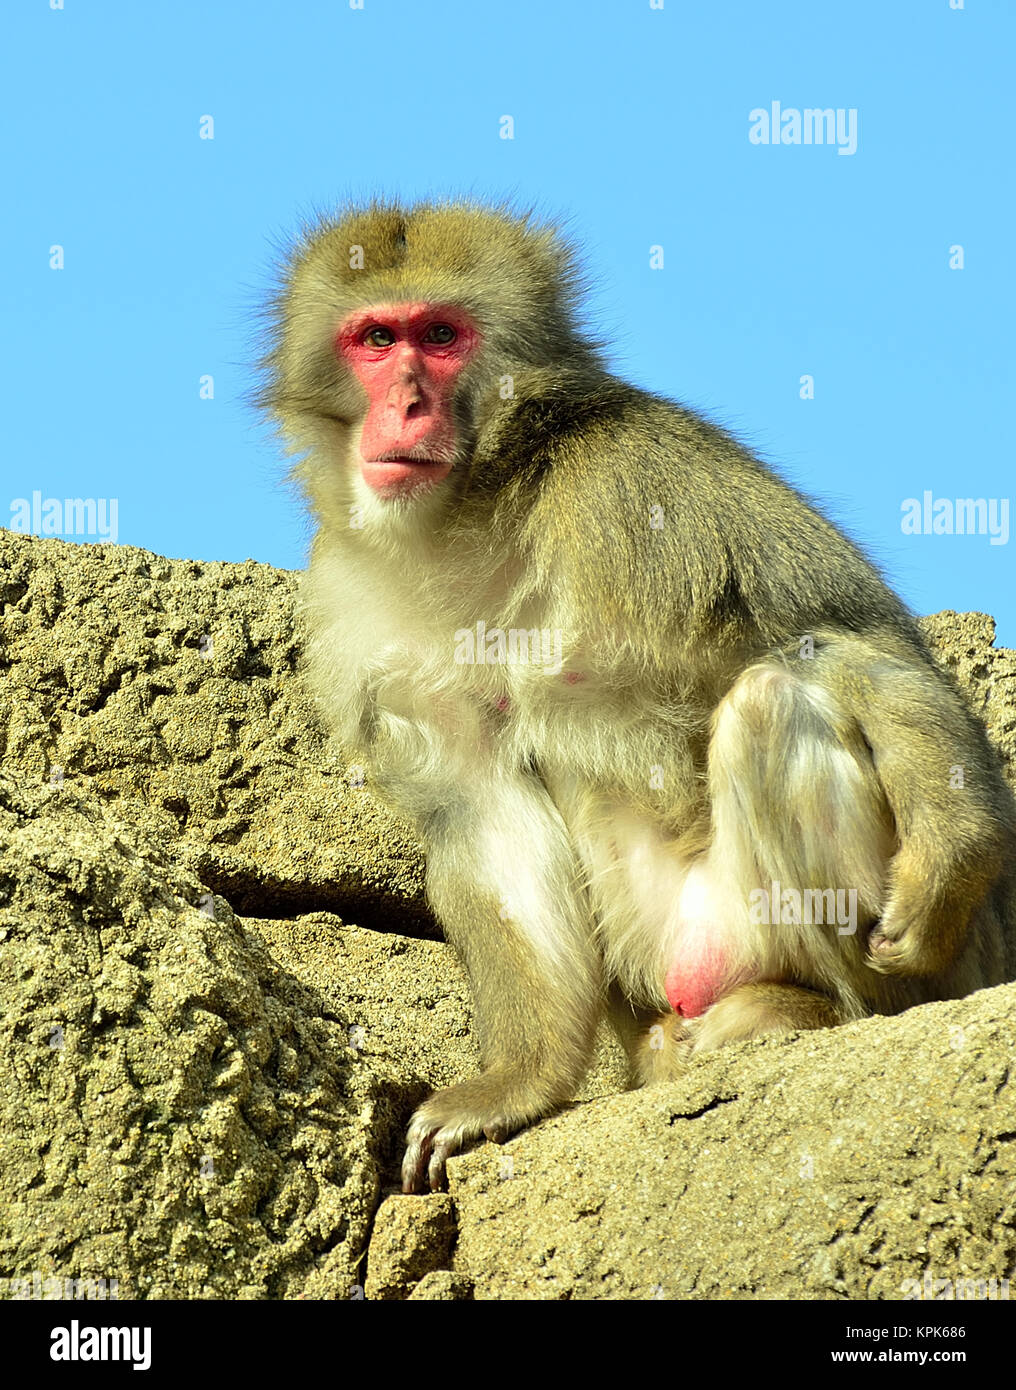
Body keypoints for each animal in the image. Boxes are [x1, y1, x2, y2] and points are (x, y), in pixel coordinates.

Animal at [263, 199, 1016, 1193]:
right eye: (377, 339)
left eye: (442, 336)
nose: (409, 402)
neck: (474, 506)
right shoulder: (356, 594)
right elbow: (478, 800)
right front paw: (519, 1082)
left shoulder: (631, 479)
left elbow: (836, 633)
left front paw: (950, 860)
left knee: (774, 699)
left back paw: (822, 1011)